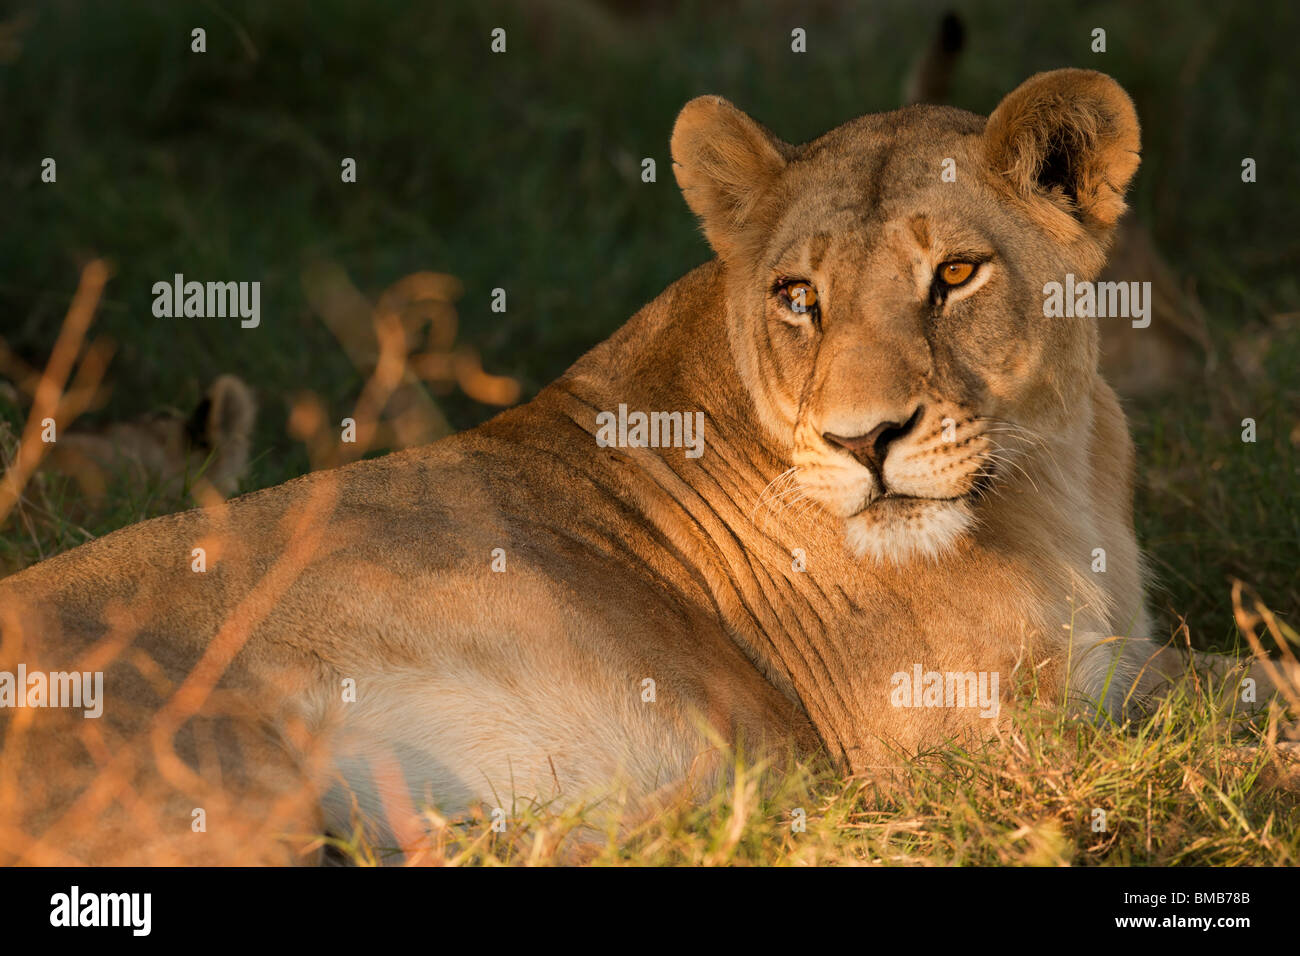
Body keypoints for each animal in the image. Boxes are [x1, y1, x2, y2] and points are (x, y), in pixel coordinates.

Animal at [0, 70, 1281, 864]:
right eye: (797, 297)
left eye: (955, 274)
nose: (862, 441)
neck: (1057, 475)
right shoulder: (978, 745)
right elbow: (1241, 725)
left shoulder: (1105, 671)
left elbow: (1253, 681)